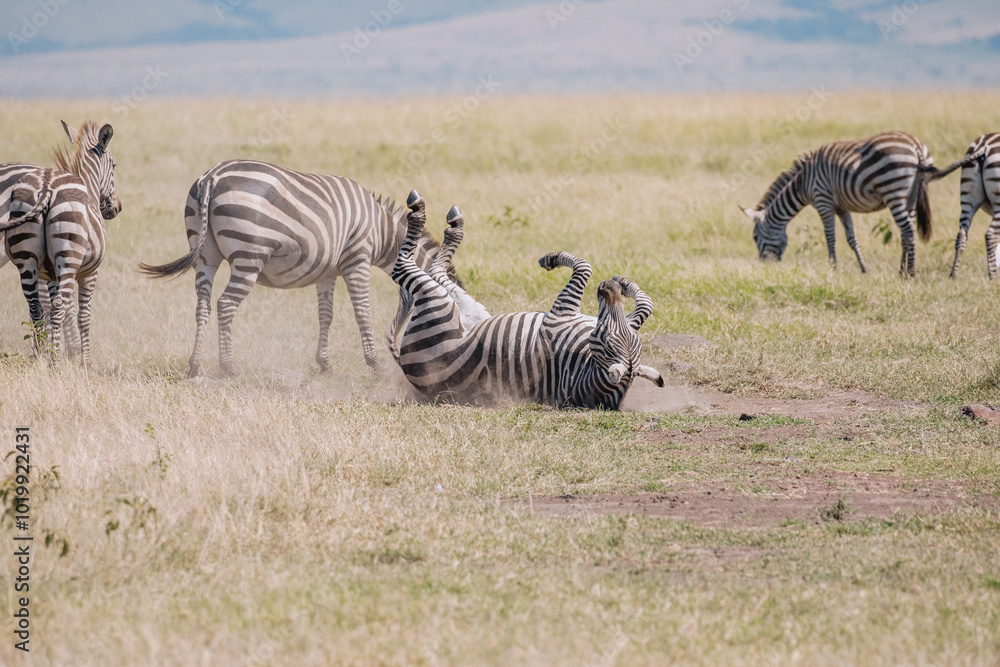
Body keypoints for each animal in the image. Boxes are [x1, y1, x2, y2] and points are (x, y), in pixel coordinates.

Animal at [2, 121, 121, 363]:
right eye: (114, 165)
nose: (116, 208)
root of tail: (46, 187)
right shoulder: (90, 273)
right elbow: (83, 315)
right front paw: (85, 361)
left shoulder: (50, 275)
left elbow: (56, 309)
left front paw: (52, 350)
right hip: (68, 256)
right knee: (57, 307)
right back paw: (54, 361)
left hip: (27, 260)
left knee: (36, 308)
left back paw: (39, 357)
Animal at [138, 159, 456, 377]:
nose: (438, 368)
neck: (382, 234)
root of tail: (212, 177)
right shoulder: (357, 259)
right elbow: (362, 313)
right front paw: (375, 364)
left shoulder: (328, 272)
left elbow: (326, 316)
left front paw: (324, 364)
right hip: (249, 255)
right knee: (225, 305)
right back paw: (229, 367)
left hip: (205, 254)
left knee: (202, 305)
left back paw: (195, 365)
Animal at [389, 190, 663, 409]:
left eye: (605, 340)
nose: (609, 287)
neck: (586, 366)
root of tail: (406, 367)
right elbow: (645, 304)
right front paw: (625, 283)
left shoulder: (560, 313)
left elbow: (585, 267)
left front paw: (553, 260)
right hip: (470, 310)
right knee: (438, 270)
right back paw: (455, 226)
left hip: (438, 305)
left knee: (404, 268)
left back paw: (420, 211)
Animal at [741, 131, 956, 276]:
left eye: (755, 237)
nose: (765, 265)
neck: (803, 182)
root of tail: (916, 147)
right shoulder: (842, 208)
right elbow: (852, 238)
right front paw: (863, 269)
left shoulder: (823, 202)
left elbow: (830, 237)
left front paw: (832, 267)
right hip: (910, 197)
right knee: (905, 232)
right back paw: (901, 270)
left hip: (893, 189)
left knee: (909, 231)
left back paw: (910, 272)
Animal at [948, 134, 1000, 278]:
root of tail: (984, 145)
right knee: (990, 235)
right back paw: (993, 277)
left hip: (968, 197)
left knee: (961, 235)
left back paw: (953, 275)